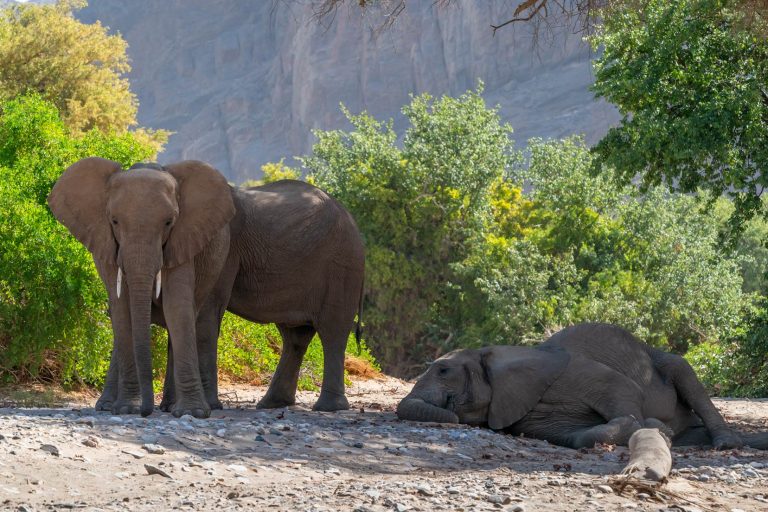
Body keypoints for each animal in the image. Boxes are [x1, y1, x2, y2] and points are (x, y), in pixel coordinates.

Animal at [48, 157, 364, 418]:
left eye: (169, 222)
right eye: (114, 221)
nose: (145, 411)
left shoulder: (215, 245)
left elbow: (187, 309)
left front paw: (199, 409)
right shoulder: (106, 242)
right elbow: (121, 309)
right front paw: (118, 408)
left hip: (343, 263)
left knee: (333, 331)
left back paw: (328, 407)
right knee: (295, 336)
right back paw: (271, 404)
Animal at [397, 323, 768, 450]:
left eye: (443, 369)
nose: (451, 410)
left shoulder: (572, 371)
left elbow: (621, 388)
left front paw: (652, 427)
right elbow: (572, 436)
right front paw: (656, 429)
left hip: (669, 365)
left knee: (683, 370)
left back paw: (725, 444)